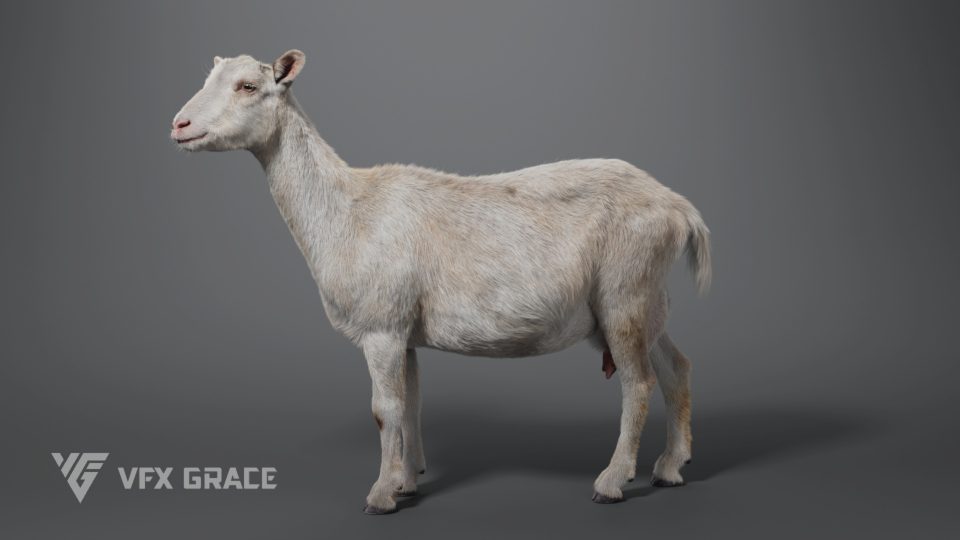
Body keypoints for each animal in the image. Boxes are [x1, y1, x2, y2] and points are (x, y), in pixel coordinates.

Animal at [172, 50, 711, 514]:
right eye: (209, 78)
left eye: (248, 86)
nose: (179, 124)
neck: (345, 211)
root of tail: (678, 206)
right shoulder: (405, 333)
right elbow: (411, 405)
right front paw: (407, 481)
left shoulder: (381, 327)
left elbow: (384, 409)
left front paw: (380, 495)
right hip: (647, 301)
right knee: (676, 368)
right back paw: (670, 467)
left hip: (624, 292)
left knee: (638, 384)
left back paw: (612, 481)